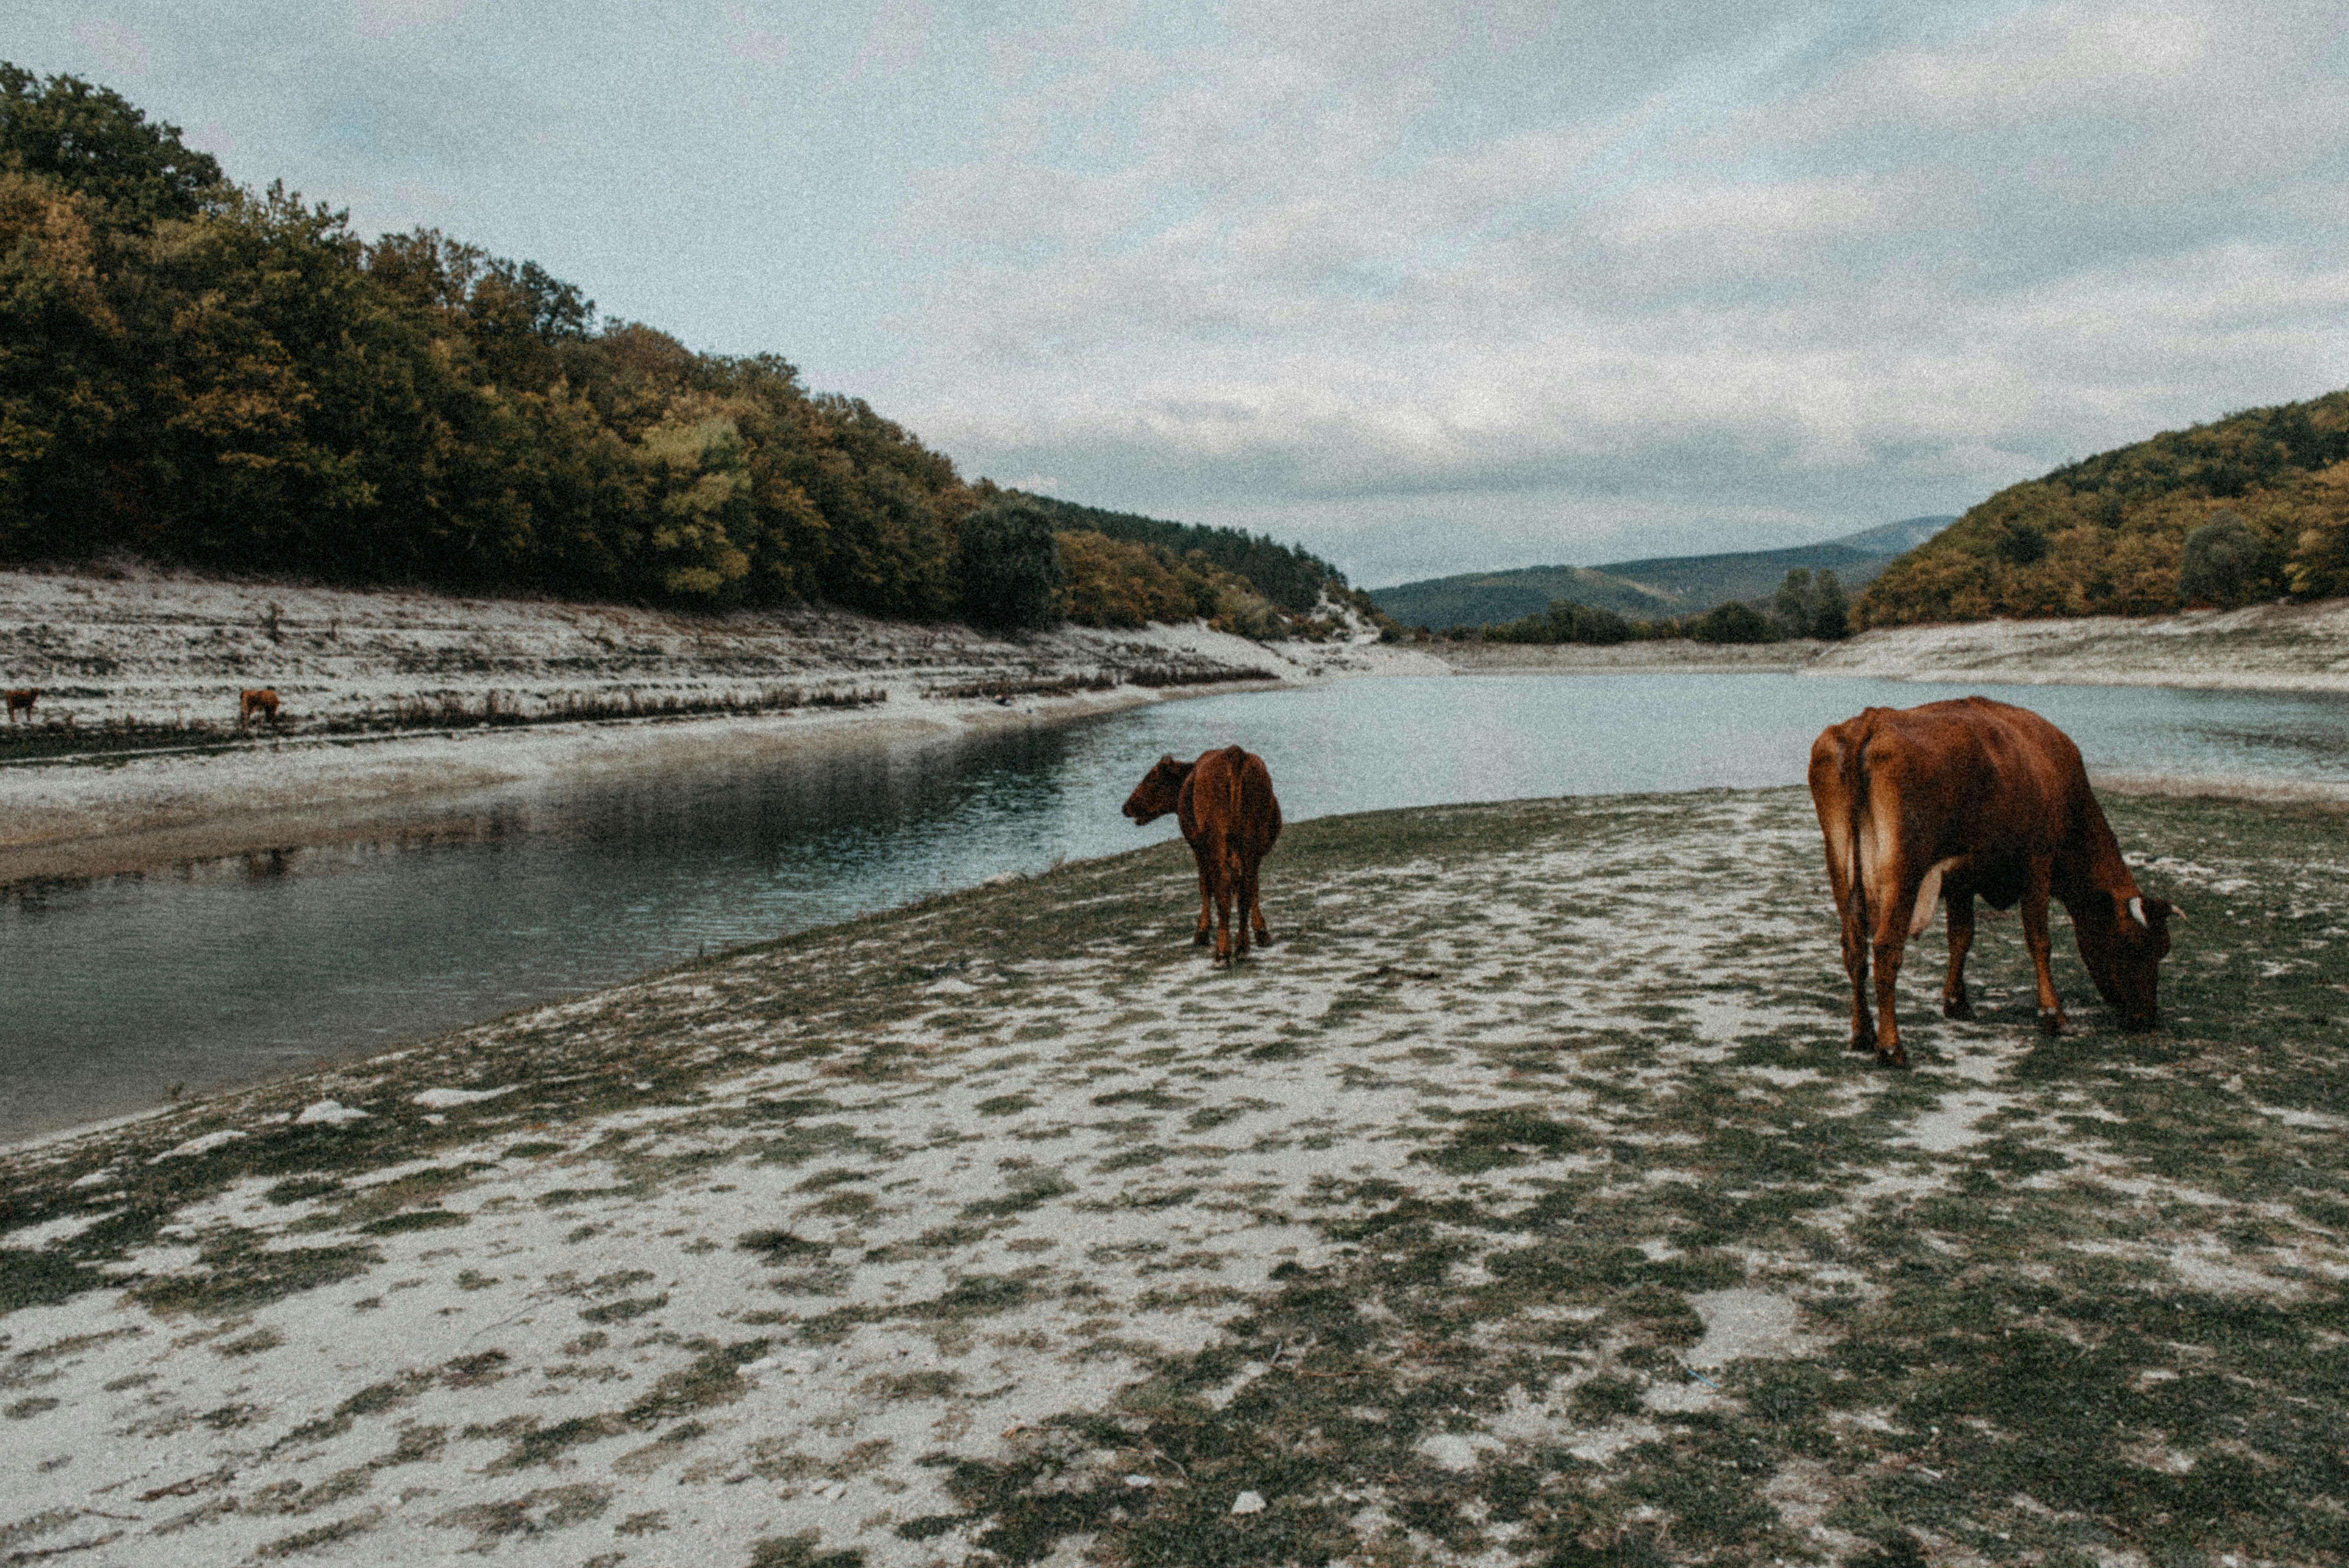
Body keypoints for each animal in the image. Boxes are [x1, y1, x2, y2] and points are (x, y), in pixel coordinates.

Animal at [1122, 745, 1282, 964]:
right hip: (1250, 841)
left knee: (1222, 888)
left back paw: (1222, 953)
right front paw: (1262, 933)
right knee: (1246, 888)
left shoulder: (1199, 850)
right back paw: (1242, 948)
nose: (1126, 807)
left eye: (1152, 779)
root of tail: (1235, 753)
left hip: (1217, 844)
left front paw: (1202, 932)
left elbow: (1205, 887)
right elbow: (1253, 890)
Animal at [1809, 696, 2176, 1068]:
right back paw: (1891, 1047)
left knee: (1854, 949)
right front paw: (2052, 1014)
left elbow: (1961, 937)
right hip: (1904, 871)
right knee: (1885, 950)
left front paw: (1957, 1002)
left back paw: (1863, 1035)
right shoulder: (2038, 864)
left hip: (1839, 864)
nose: (2145, 1018)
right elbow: (2039, 941)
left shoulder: (1960, 880)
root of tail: (1872, 720)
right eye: (2133, 944)